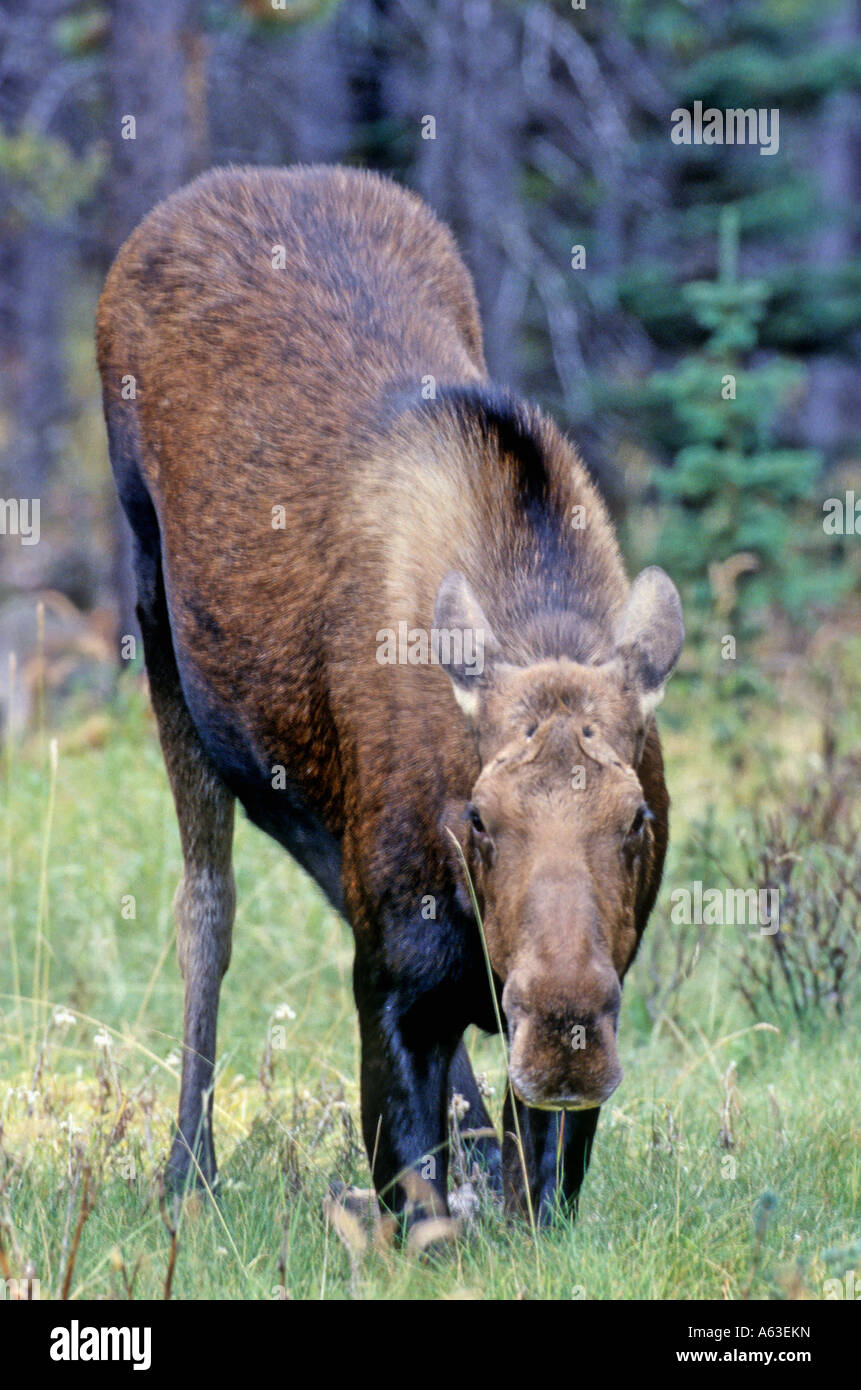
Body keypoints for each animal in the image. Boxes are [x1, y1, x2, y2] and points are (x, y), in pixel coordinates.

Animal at [97, 165, 683, 1226]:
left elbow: (537, 1194)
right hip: (158, 623)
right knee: (206, 907)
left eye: (635, 820)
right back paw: (187, 1171)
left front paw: (492, 1162)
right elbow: (414, 1198)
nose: (565, 1037)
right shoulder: (393, 982)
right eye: (480, 819)